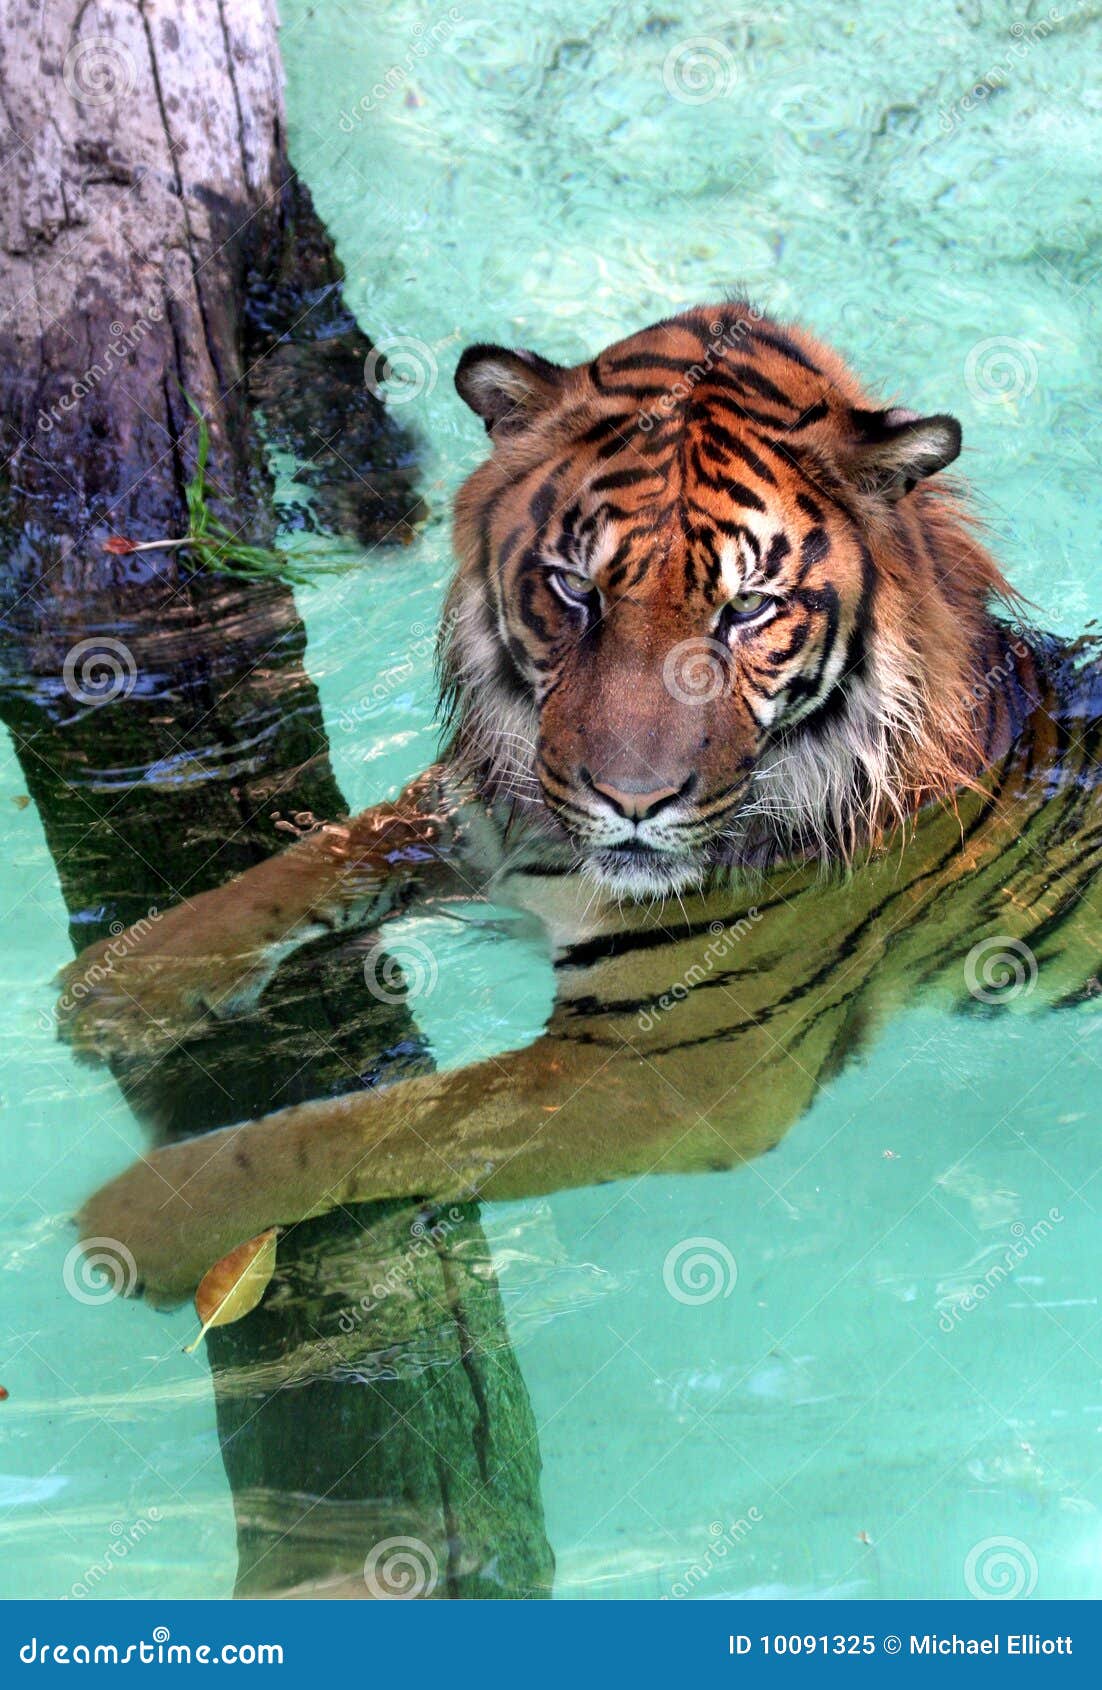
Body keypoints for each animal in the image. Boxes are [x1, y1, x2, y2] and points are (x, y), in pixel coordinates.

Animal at [59, 302, 1102, 1303]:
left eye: (748, 609)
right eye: (573, 590)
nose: (633, 802)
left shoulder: (669, 1070)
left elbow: (384, 1123)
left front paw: (147, 1216)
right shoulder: (496, 811)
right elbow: (319, 854)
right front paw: (119, 979)